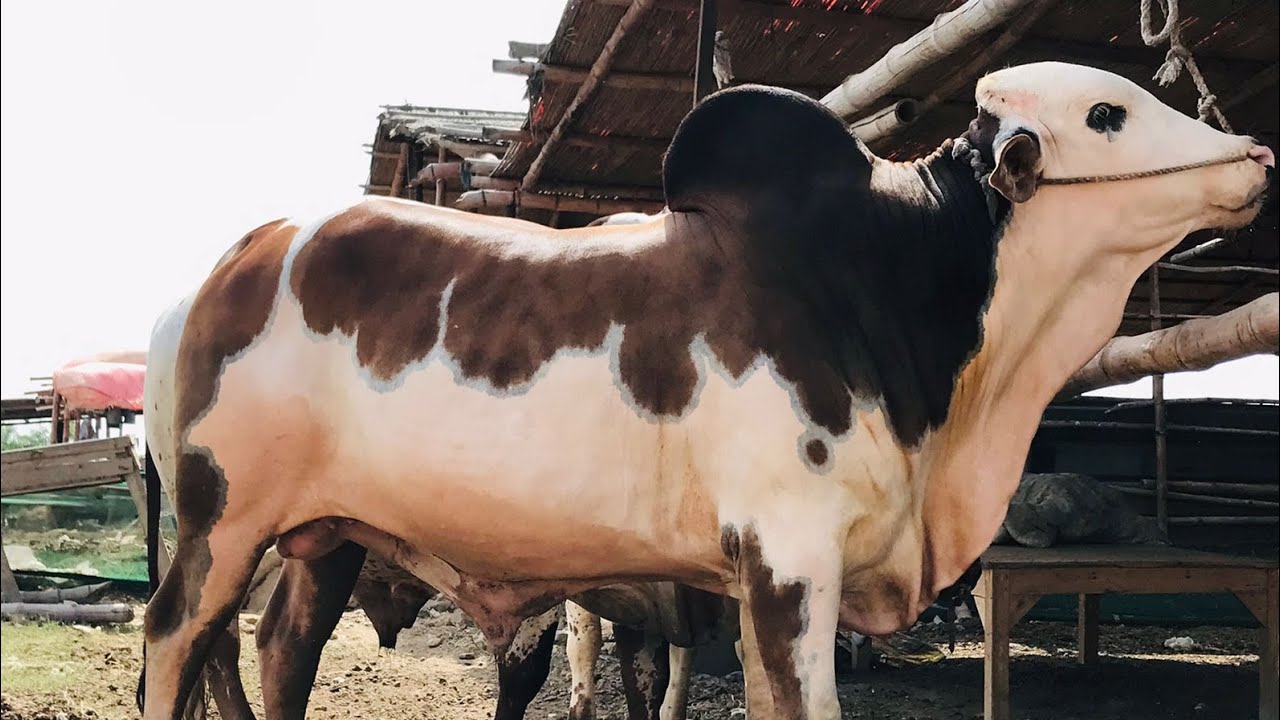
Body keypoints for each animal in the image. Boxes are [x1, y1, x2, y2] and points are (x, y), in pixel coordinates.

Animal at [139, 62, 1273, 719]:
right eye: (1109, 112)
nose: (1255, 151)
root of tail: (240, 258)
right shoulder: (788, 556)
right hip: (221, 523)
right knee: (174, 638)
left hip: (323, 537)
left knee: (278, 650)